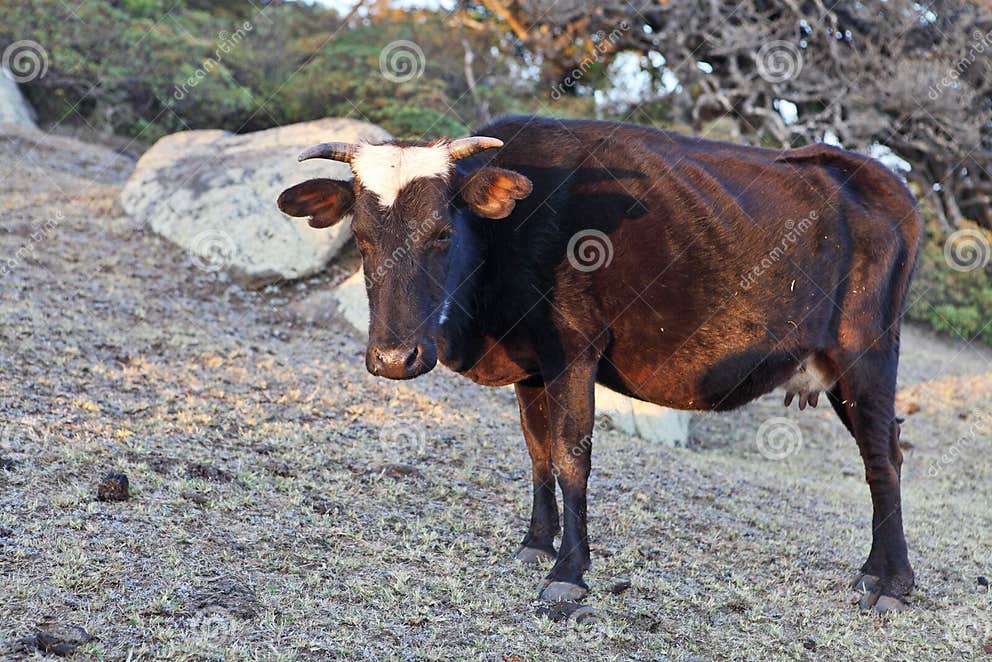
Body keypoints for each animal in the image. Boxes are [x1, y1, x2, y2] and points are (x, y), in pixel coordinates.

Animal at [278, 116, 922, 613]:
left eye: (440, 232)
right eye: (361, 236)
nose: (394, 358)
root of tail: (879, 177)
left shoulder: (574, 354)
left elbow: (570, 456)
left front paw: (568, 574)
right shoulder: (532, 366)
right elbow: (537, 451)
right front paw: (536, 544)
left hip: (868, 354)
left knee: (881, 459)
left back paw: (892, 584)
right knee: (885, 451)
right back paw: (878, 571)